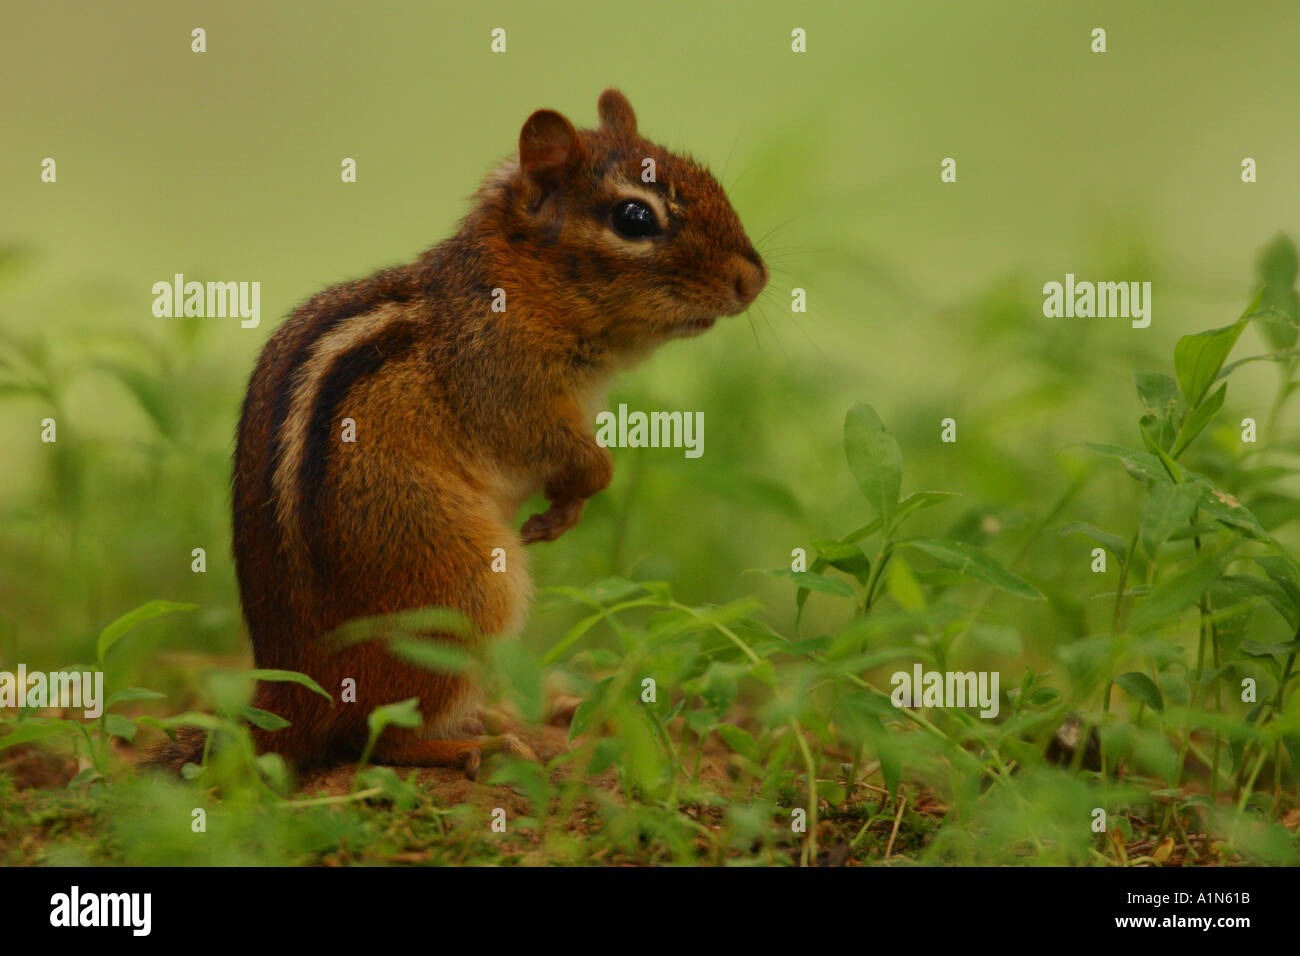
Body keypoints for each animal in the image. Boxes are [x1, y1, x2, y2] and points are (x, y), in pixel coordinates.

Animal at [148, 89, 767, 779]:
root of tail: (294, 698)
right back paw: (476, 745)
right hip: (465, 595)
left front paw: (564, 511)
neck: (518, 284)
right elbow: (571, 452)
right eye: (634, 217)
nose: (755, 278)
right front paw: (582, 491)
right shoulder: (509, 394)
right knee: (376, 739)